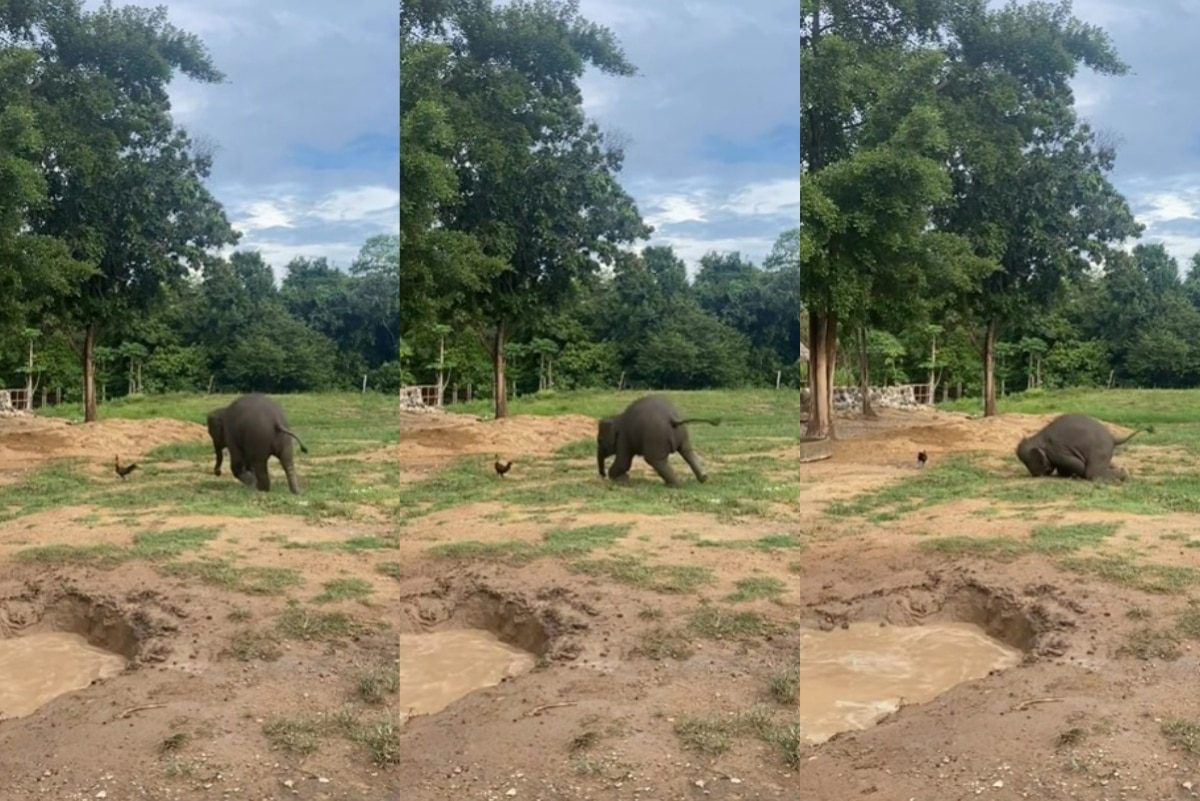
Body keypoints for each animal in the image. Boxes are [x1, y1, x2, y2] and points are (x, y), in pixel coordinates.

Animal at [1015, 413, 1150, 482]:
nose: (1037, 475)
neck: (1038, 437)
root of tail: (1113, 438)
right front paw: (1069, 475)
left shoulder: (1057, 451)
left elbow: (1078, 465)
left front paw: (1076, 475)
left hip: (1100, 450)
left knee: (1093, 473)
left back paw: (1124, 474)